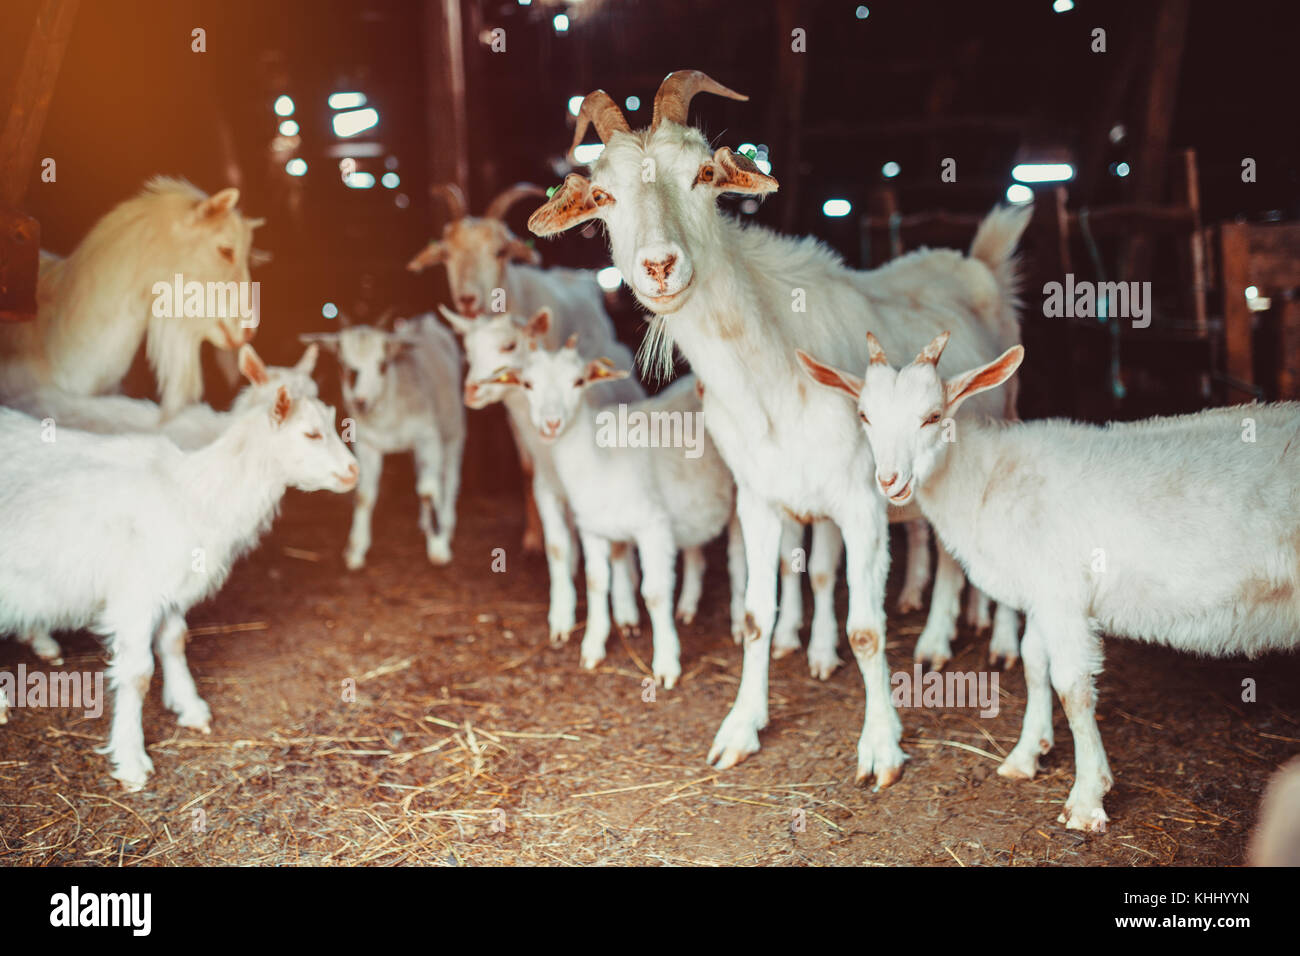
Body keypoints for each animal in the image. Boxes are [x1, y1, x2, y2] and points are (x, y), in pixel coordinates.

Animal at [0, 346, 357, 789]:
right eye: (311, 434)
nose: (353, 472)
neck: (193, 491)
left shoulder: (170, 586)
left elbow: (174, 641)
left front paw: (190, 707)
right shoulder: (135, 595)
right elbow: (137, 674)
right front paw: (131, 759)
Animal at [302, 314, 465, 568]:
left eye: (382, 364)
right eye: (342, 363)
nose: (359, 401)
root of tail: (427, 320)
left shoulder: (427, 437)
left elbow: (429, 491)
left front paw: (438, 547)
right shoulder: (367, 445)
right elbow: (364, 496)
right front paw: (355, 550)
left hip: (452, 431)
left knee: (448, 477)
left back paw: (446, 522)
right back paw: (425, 522)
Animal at [479, 338, 742, 688]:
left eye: (578, 382)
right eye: (527, 384)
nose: (551, 424)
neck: (598, 460)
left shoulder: (652, 526)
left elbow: (655, 593)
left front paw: (666, 664)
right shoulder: (593, 528)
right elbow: (595, 582)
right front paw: (592, 647)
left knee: (738, 562)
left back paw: (739, 623)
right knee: (695, 552)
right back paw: (687, 607)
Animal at [526, 70, 1028, 783]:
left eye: (703, 174)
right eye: (602, 194)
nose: (660, 266)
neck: (769, 378)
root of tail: (976, 264)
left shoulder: (862, 500)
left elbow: (866, 628)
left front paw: (881, 747)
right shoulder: (759, 499)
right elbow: (758, 613)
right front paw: (742, 726)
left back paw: (966, 640)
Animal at [798, 331, 1300, 829]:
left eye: (933, 417)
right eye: (865, 415)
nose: (889, 481)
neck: (986, 480)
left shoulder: (1064, 594)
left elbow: (1071, 687)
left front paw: (1087, 797)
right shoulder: (1041, 590)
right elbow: (1033, 662)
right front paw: (1027, 754)